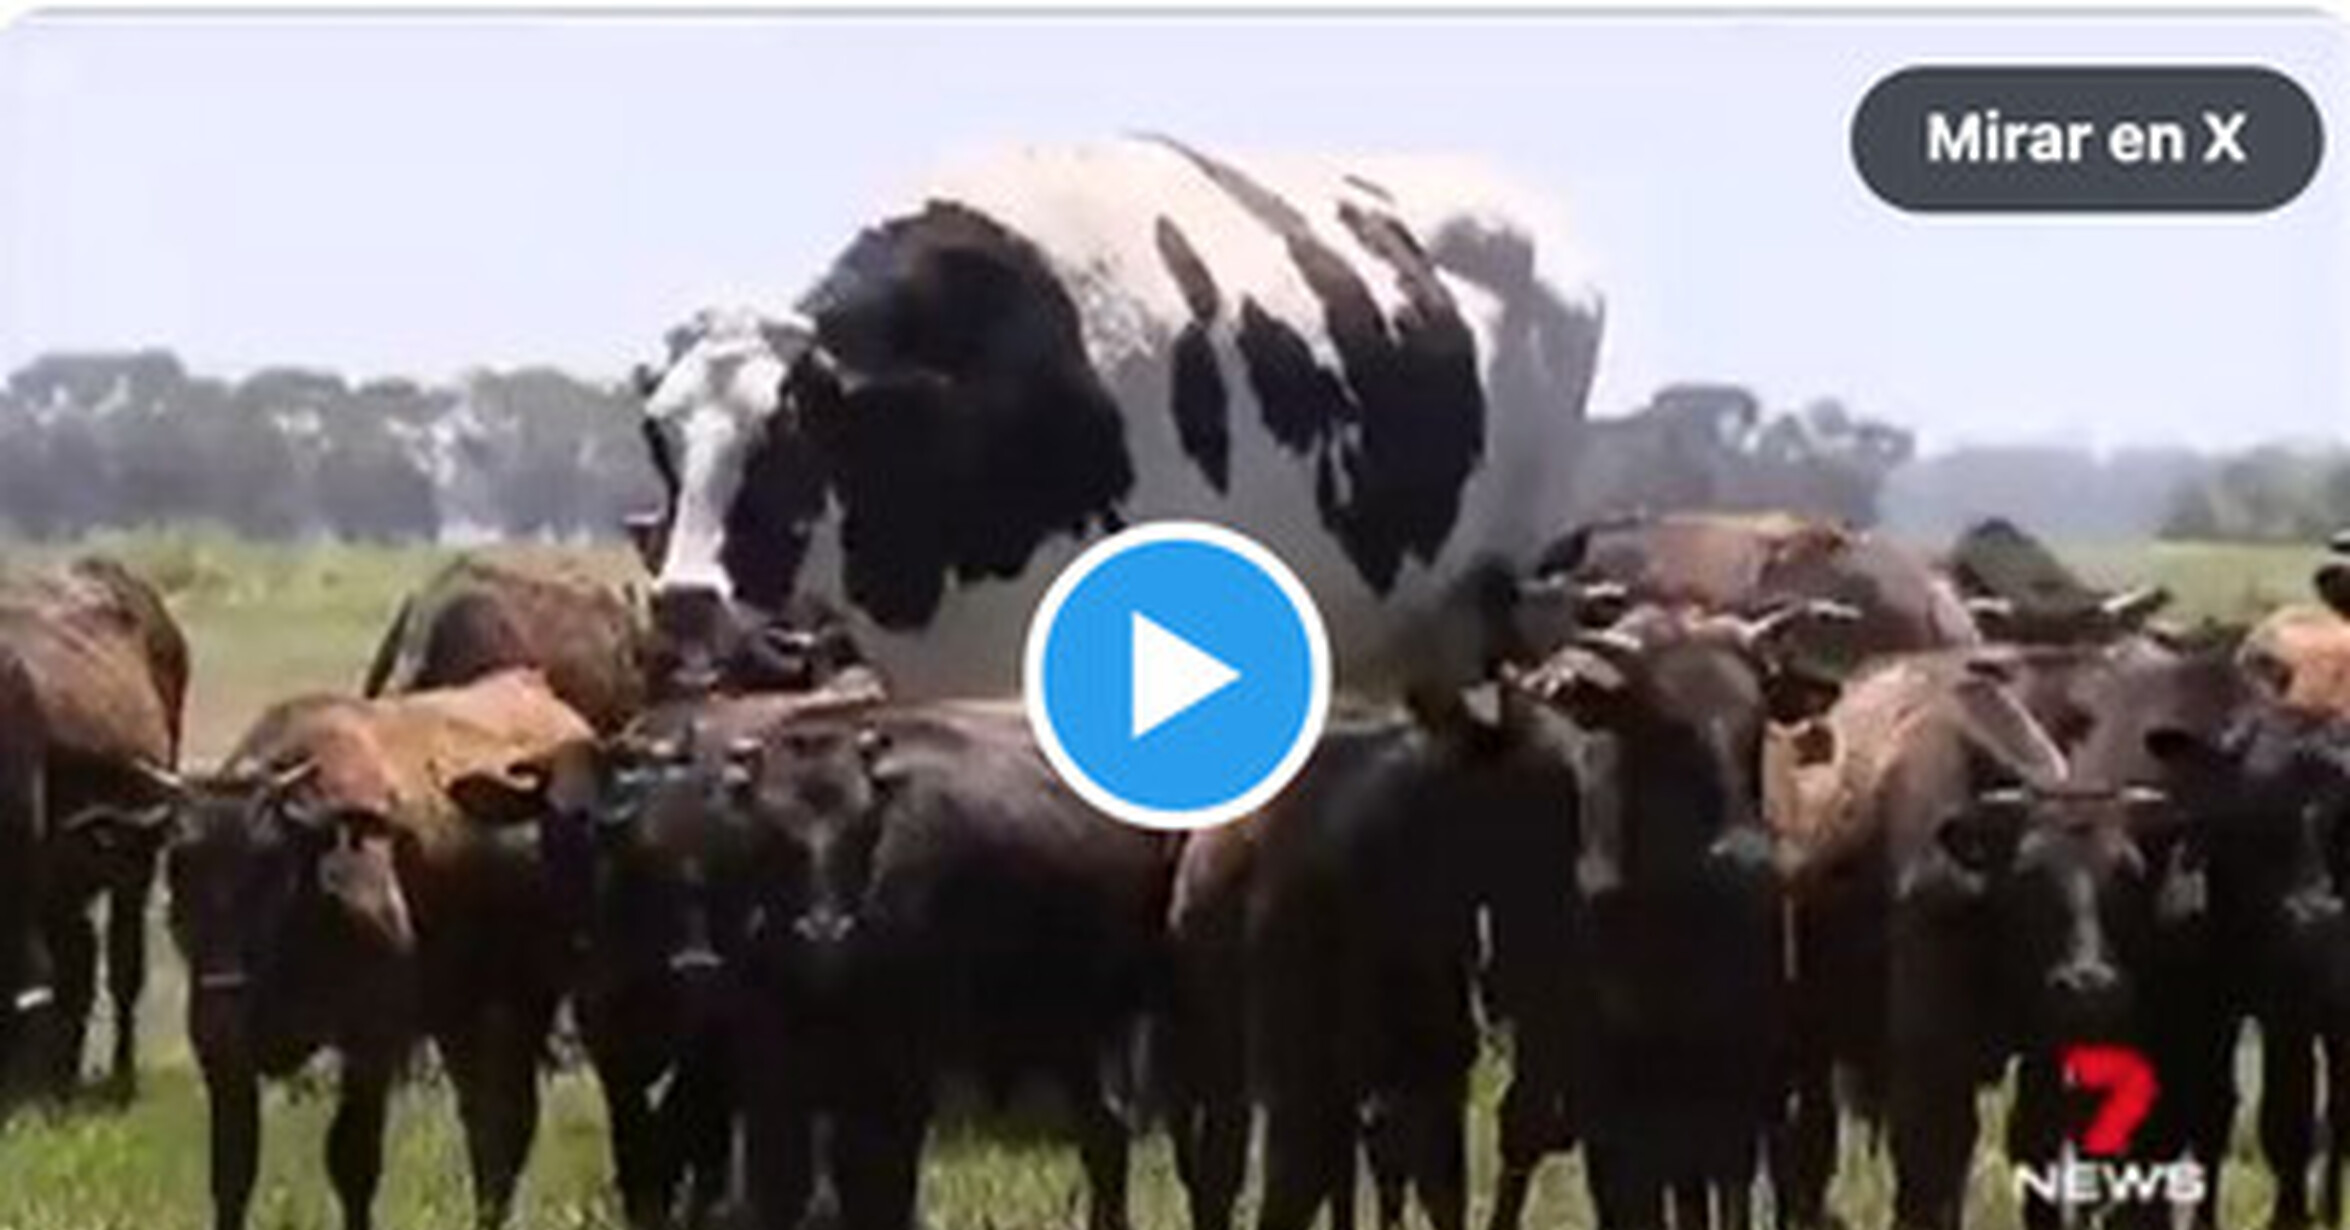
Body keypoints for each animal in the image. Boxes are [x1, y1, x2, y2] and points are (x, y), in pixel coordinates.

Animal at [157, 670, 594, 1230]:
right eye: (178, 864)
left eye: (270, 863)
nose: (223, 987)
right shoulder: (220, 1051)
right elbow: (233, 1169)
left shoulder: (371, 1040)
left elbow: (352, 1159)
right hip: (459, 1016)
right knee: (487, 1123)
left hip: (522, 1003)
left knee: (507, 1125)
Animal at [716, 700, 1178, 1230]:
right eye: (769, 834)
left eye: (866, 831)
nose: (826, 932)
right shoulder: (772, 1073)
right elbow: (779, 1186)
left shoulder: (899, 1074)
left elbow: (878, 1187)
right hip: (1065, 1035)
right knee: (1104, 1133)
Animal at [1770, 651, 2177, 1230]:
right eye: (2028, 875)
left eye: (2127, 873)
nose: (2089, 985)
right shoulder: (1931, 1060)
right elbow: (1932, 1168)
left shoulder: (2045, 1056)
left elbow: (2036, 1148)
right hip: (1807, 1040)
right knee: (1809, 1137)